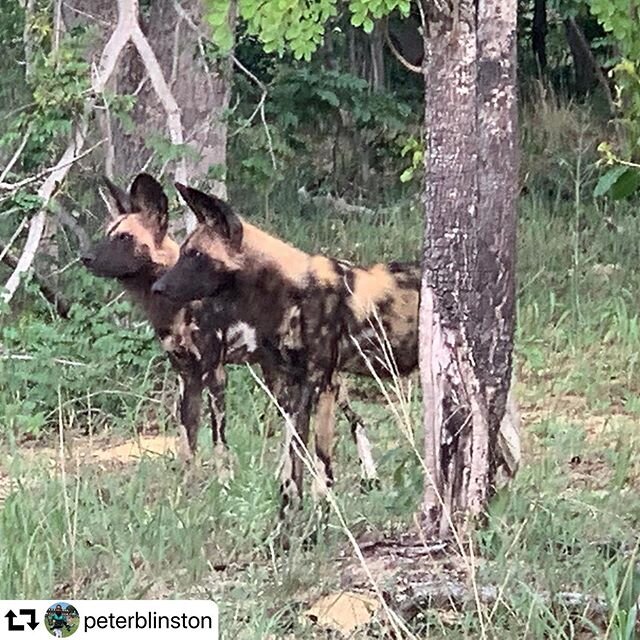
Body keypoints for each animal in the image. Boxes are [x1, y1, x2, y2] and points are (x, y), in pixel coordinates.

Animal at [151, 184, 420, 520]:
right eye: (184, 253)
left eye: (196, 255)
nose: (157, 288)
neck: (289, 292)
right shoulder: (292, 388)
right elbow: (292, 468)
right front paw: (288, 521)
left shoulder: (319, 385)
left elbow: (313, 463)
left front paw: (310, 521)